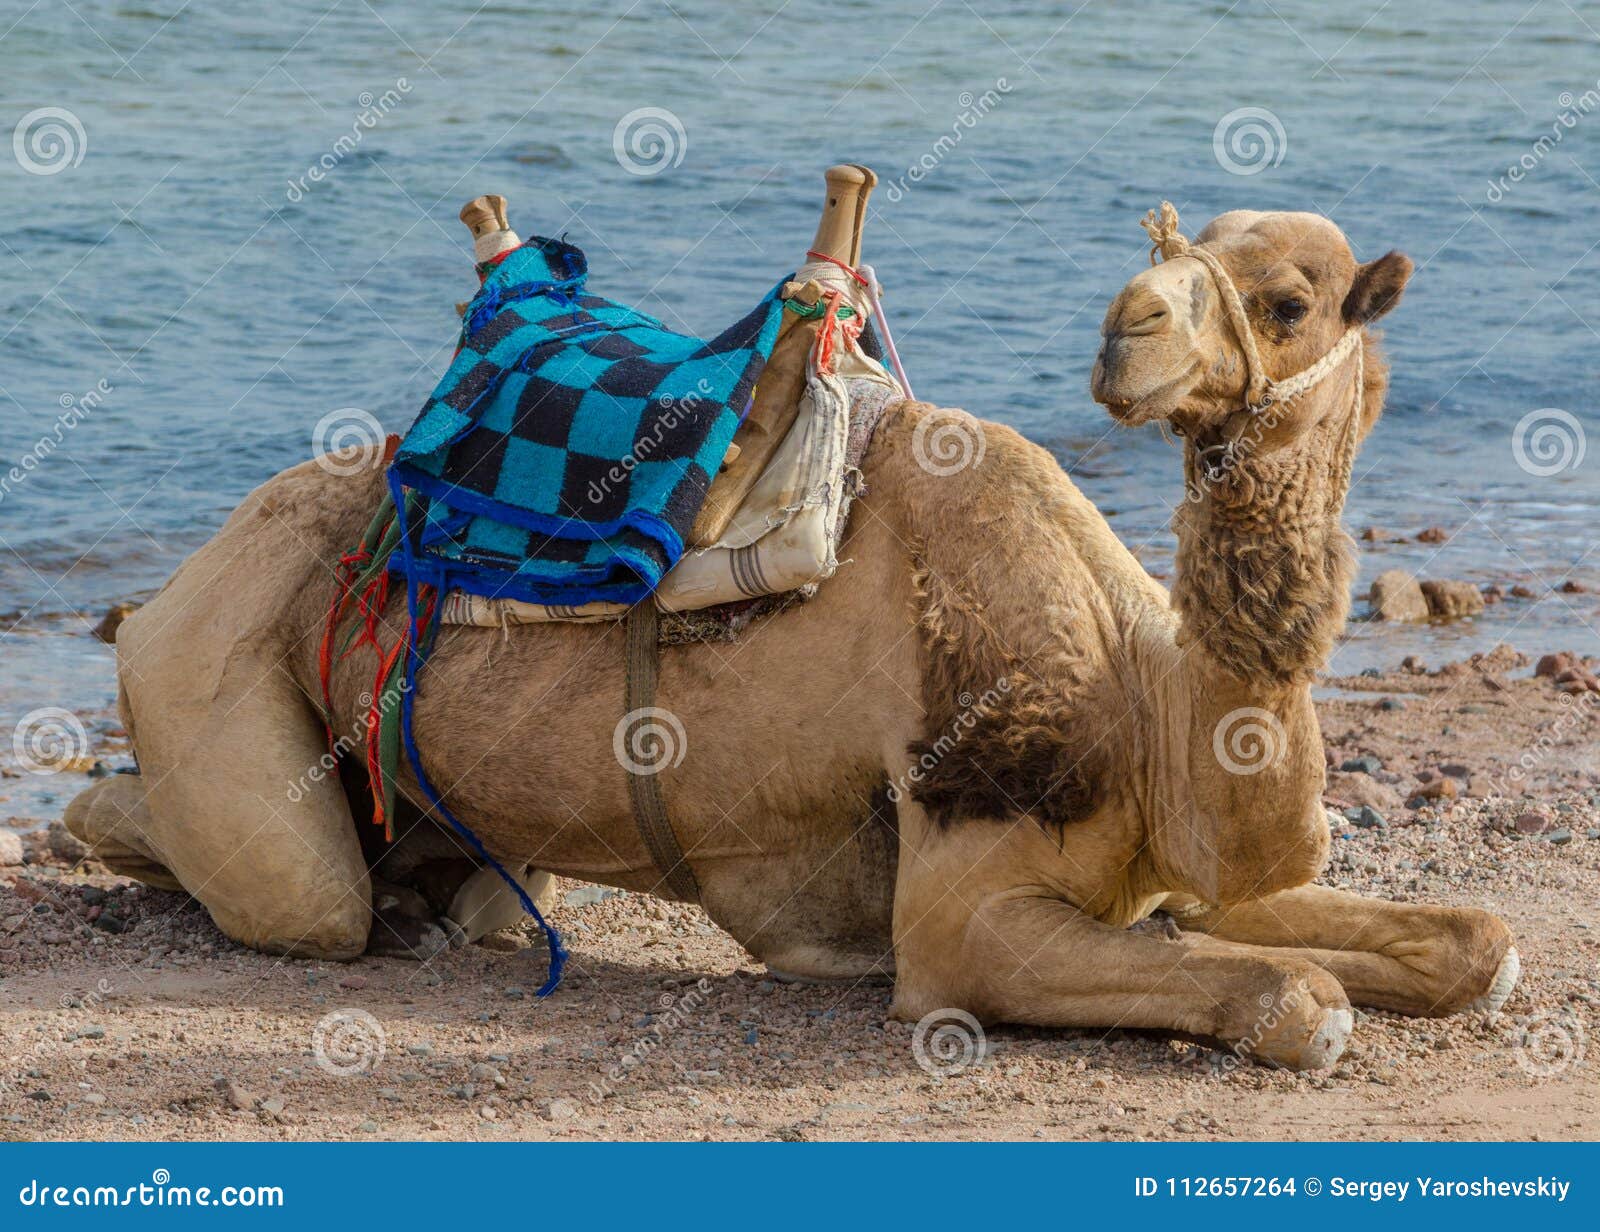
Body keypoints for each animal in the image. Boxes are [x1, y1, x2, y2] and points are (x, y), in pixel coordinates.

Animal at [64, 204, 1519, 1072]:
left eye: (1290, 298)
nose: (1128, 329)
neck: (1137, 687)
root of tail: (184, 574)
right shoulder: (956, 922)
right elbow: (1297, 999)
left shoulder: (1169, 875)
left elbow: (1476, 944)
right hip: (211, 655)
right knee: (297, 893)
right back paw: (115, 830)